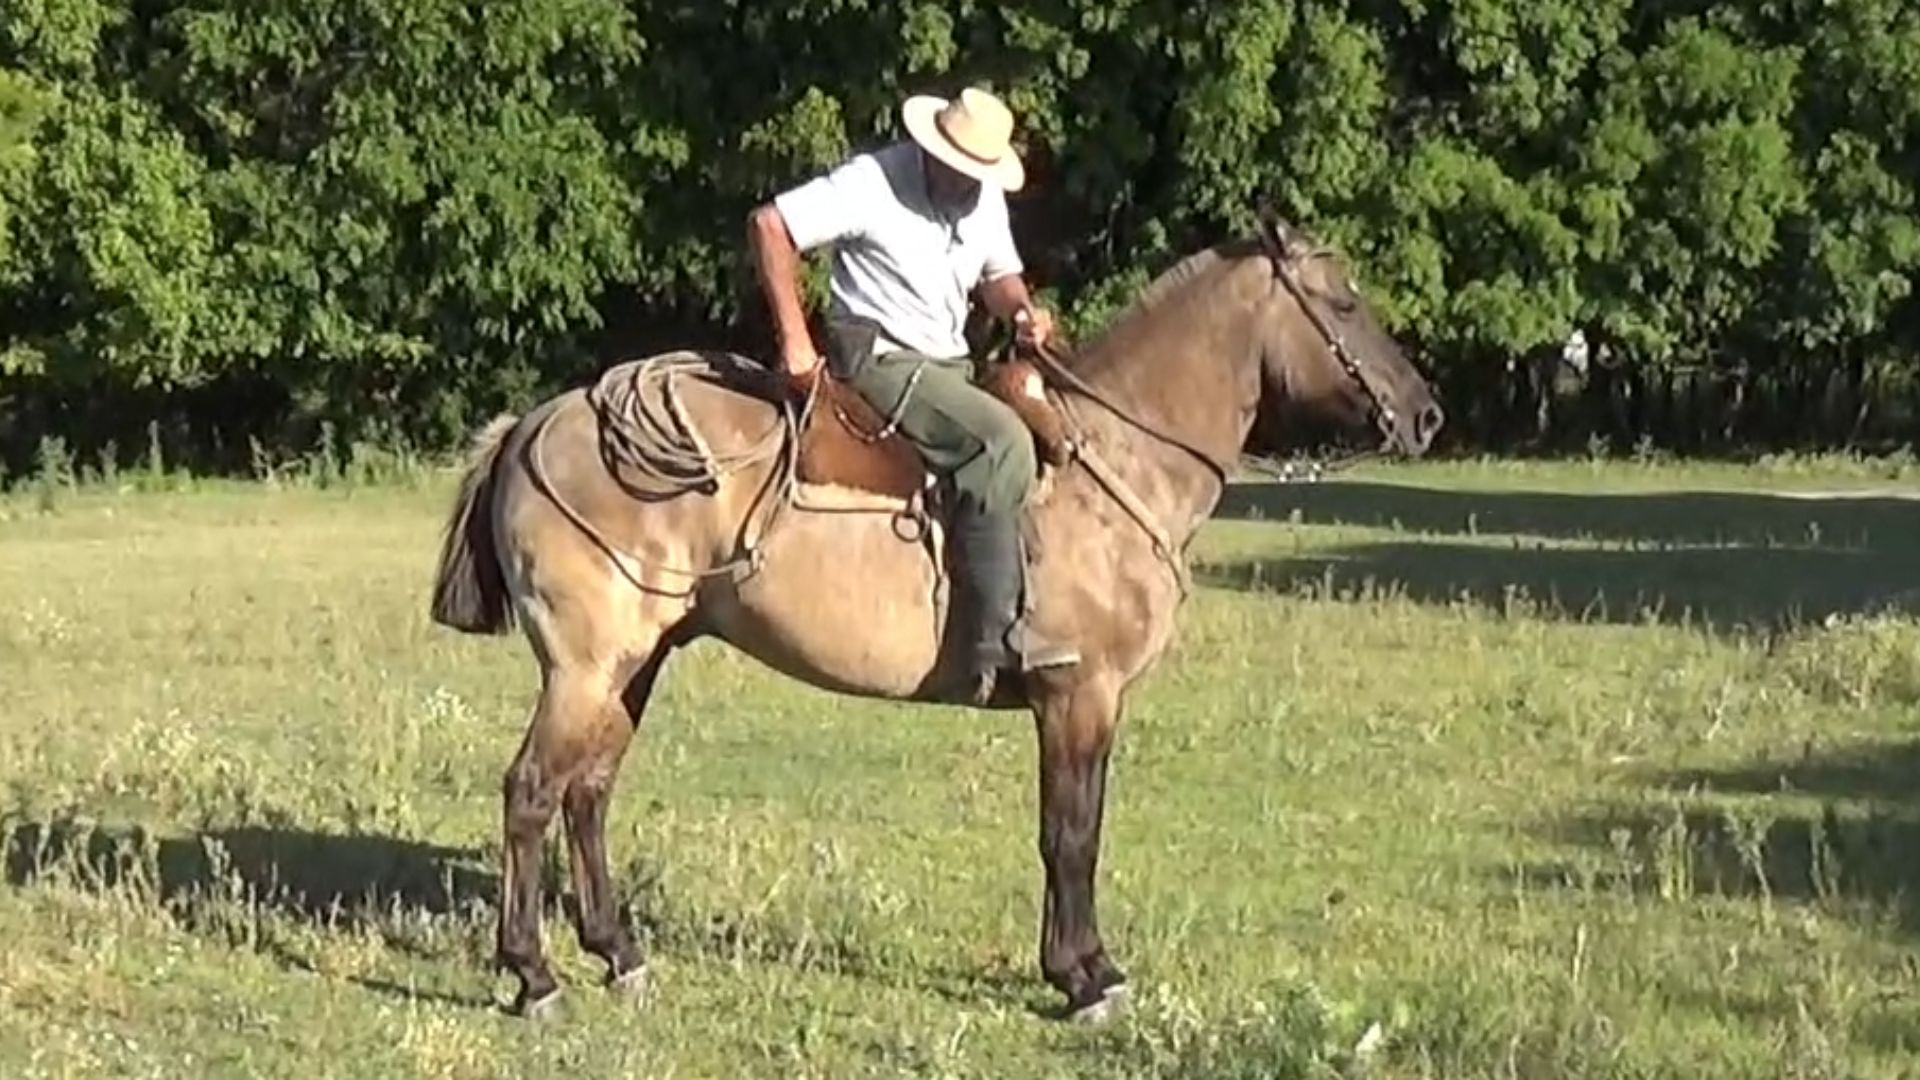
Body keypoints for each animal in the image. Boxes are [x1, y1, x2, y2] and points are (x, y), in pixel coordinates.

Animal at [426, 213, 1444, 1023]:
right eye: (1343, 302)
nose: (1426, 416)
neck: (1111, 457)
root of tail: (536, 423)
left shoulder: (1087, 703)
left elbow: (1078, 828)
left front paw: (1081, 968)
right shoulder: (1079, 694)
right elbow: (1070, 834)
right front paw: (1084, 979)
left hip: (635, 661)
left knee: (587, 792)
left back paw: (619, 954)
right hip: (587, 666)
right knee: (532, 792)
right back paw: (534, 977)